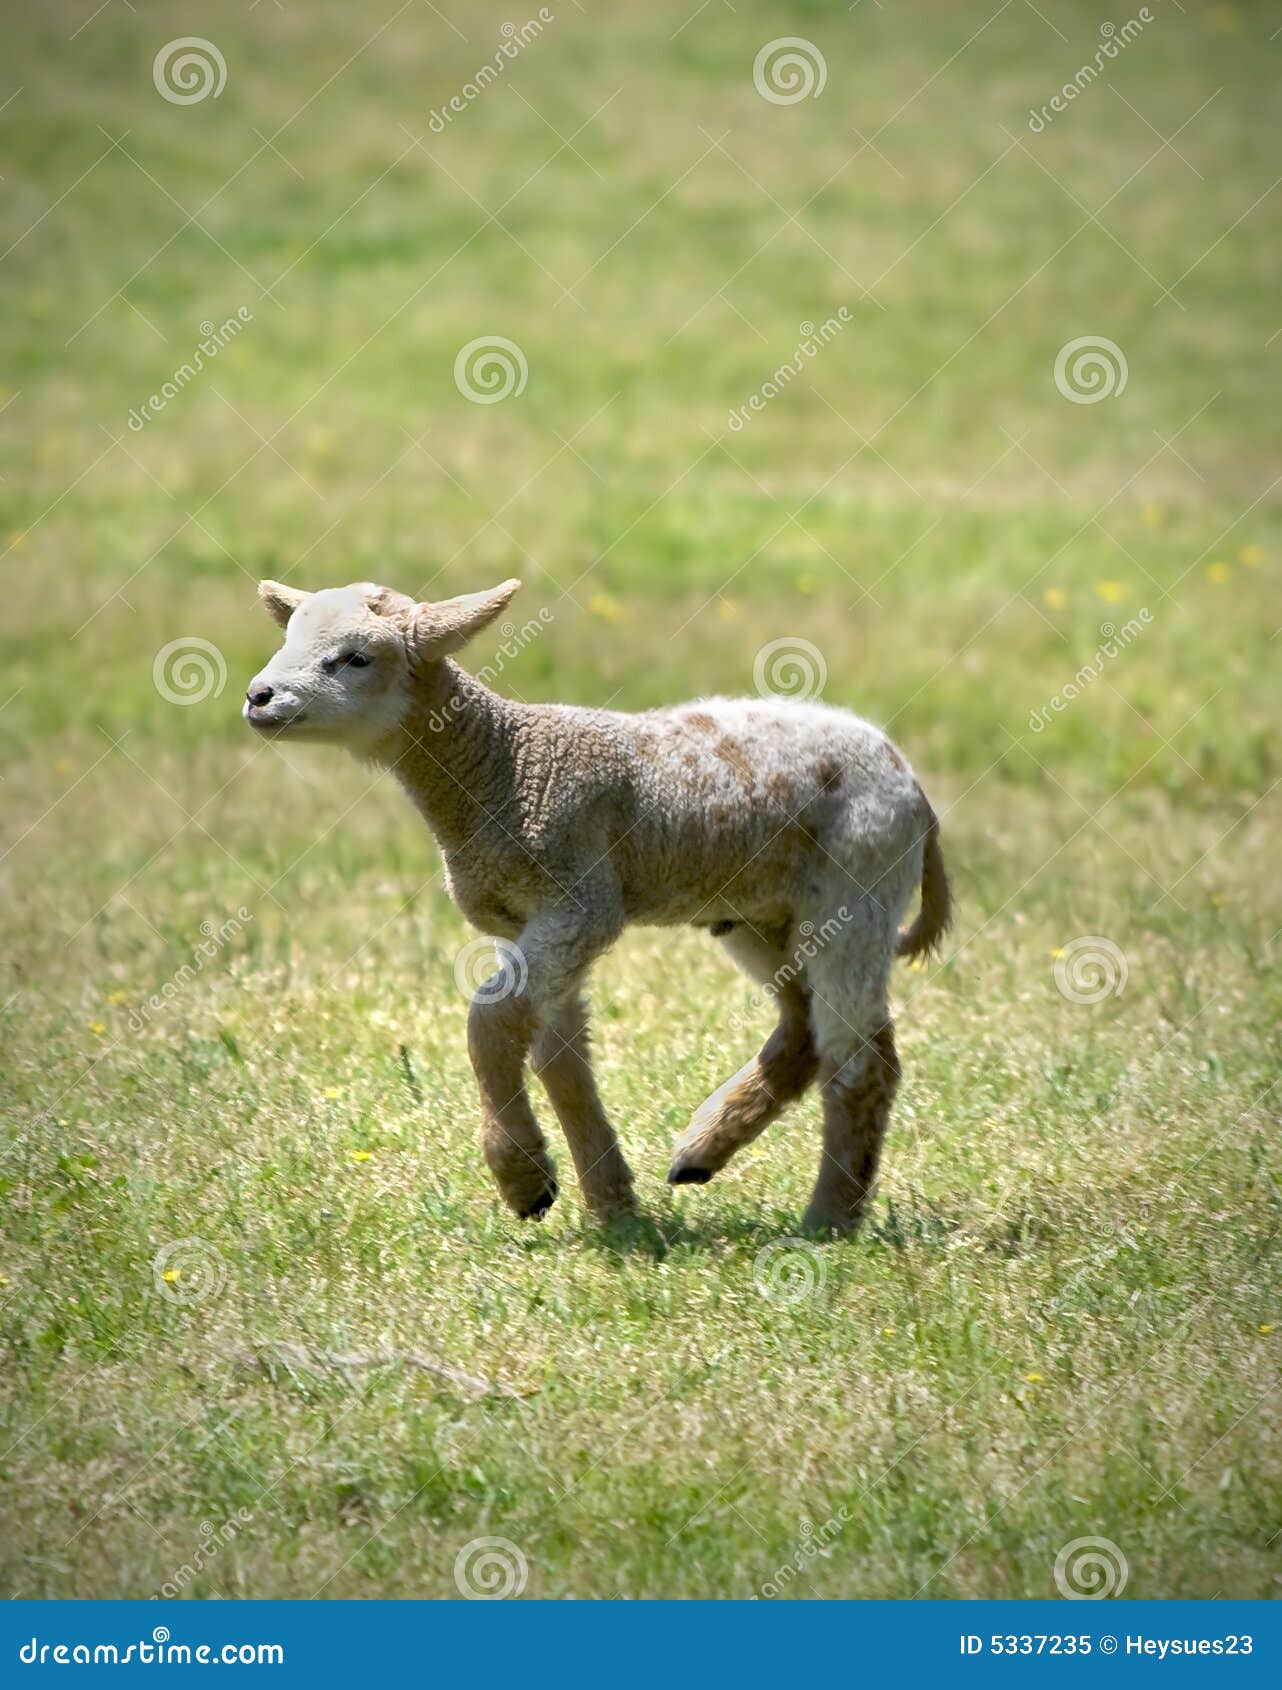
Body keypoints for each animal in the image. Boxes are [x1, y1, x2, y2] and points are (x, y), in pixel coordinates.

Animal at [243, 577, 951, 1236]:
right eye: (287, 638)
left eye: (355, 658)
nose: (258, 696)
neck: (503, 764)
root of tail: (914, 786)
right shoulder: (520, 919)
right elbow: (559, 1061)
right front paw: (613, 1209)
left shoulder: (579, 902)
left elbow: (491, 1022)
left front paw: (524, 1179)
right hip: (763, 912)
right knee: (808, 1031)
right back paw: (702, 1151)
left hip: (858, 886)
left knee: (860, 1061)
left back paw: (827, 1221)